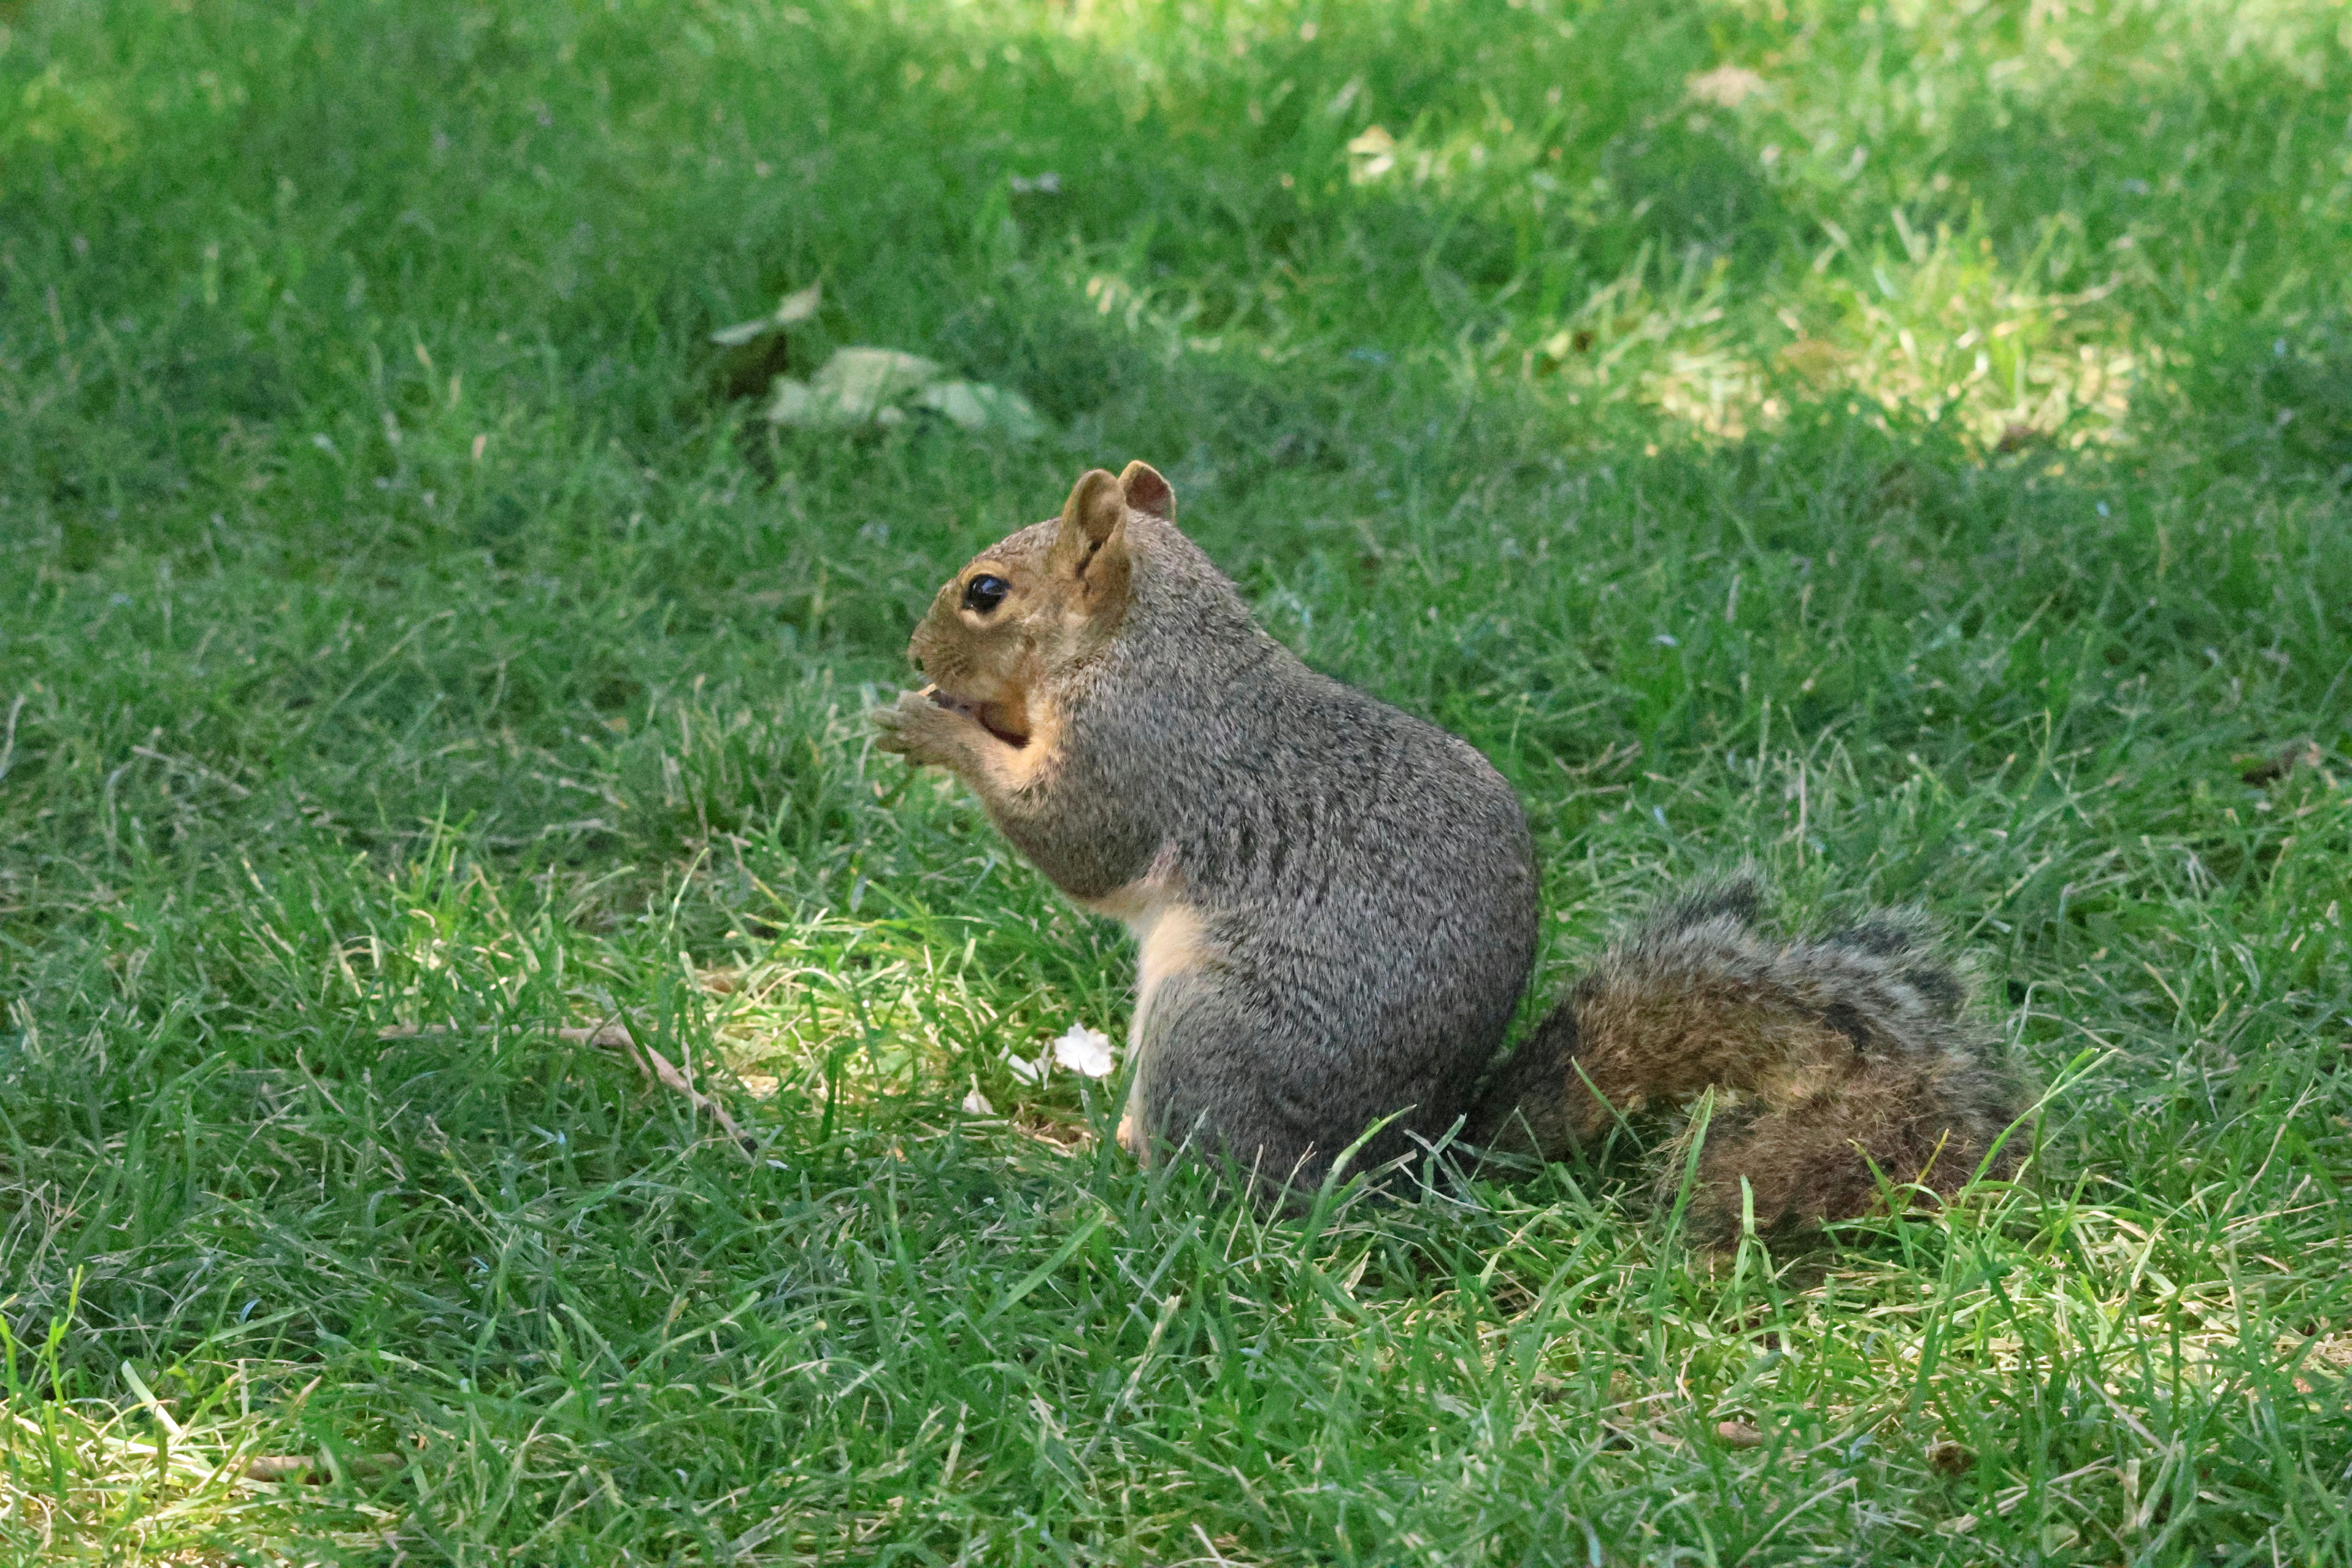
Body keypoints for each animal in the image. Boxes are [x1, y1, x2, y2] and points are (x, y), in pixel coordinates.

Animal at [874, 463, 2024, 1236]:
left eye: (986, 593)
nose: (916, 651)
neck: (1146, 640)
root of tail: (1412, 1159)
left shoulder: (1139, 750)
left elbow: (1079, 844)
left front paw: (932, 725)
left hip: (1211, 1033)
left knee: (1220, 1181)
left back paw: (1104, 1181)